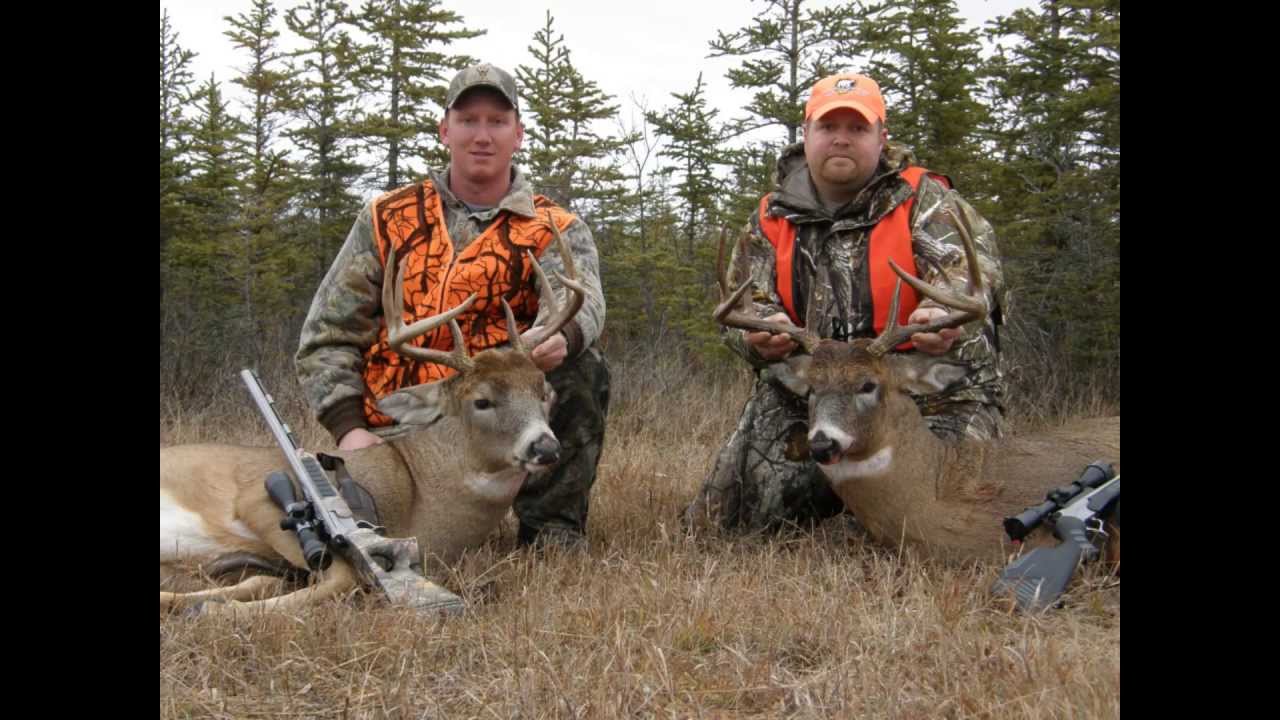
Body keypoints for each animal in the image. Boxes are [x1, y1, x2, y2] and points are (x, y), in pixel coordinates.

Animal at [159, 227, 585, 616]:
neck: (421, 494)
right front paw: (212, 609)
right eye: (482, 400)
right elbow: (341, 575)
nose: (545, 446)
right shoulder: (258, 496)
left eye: (543, 391)